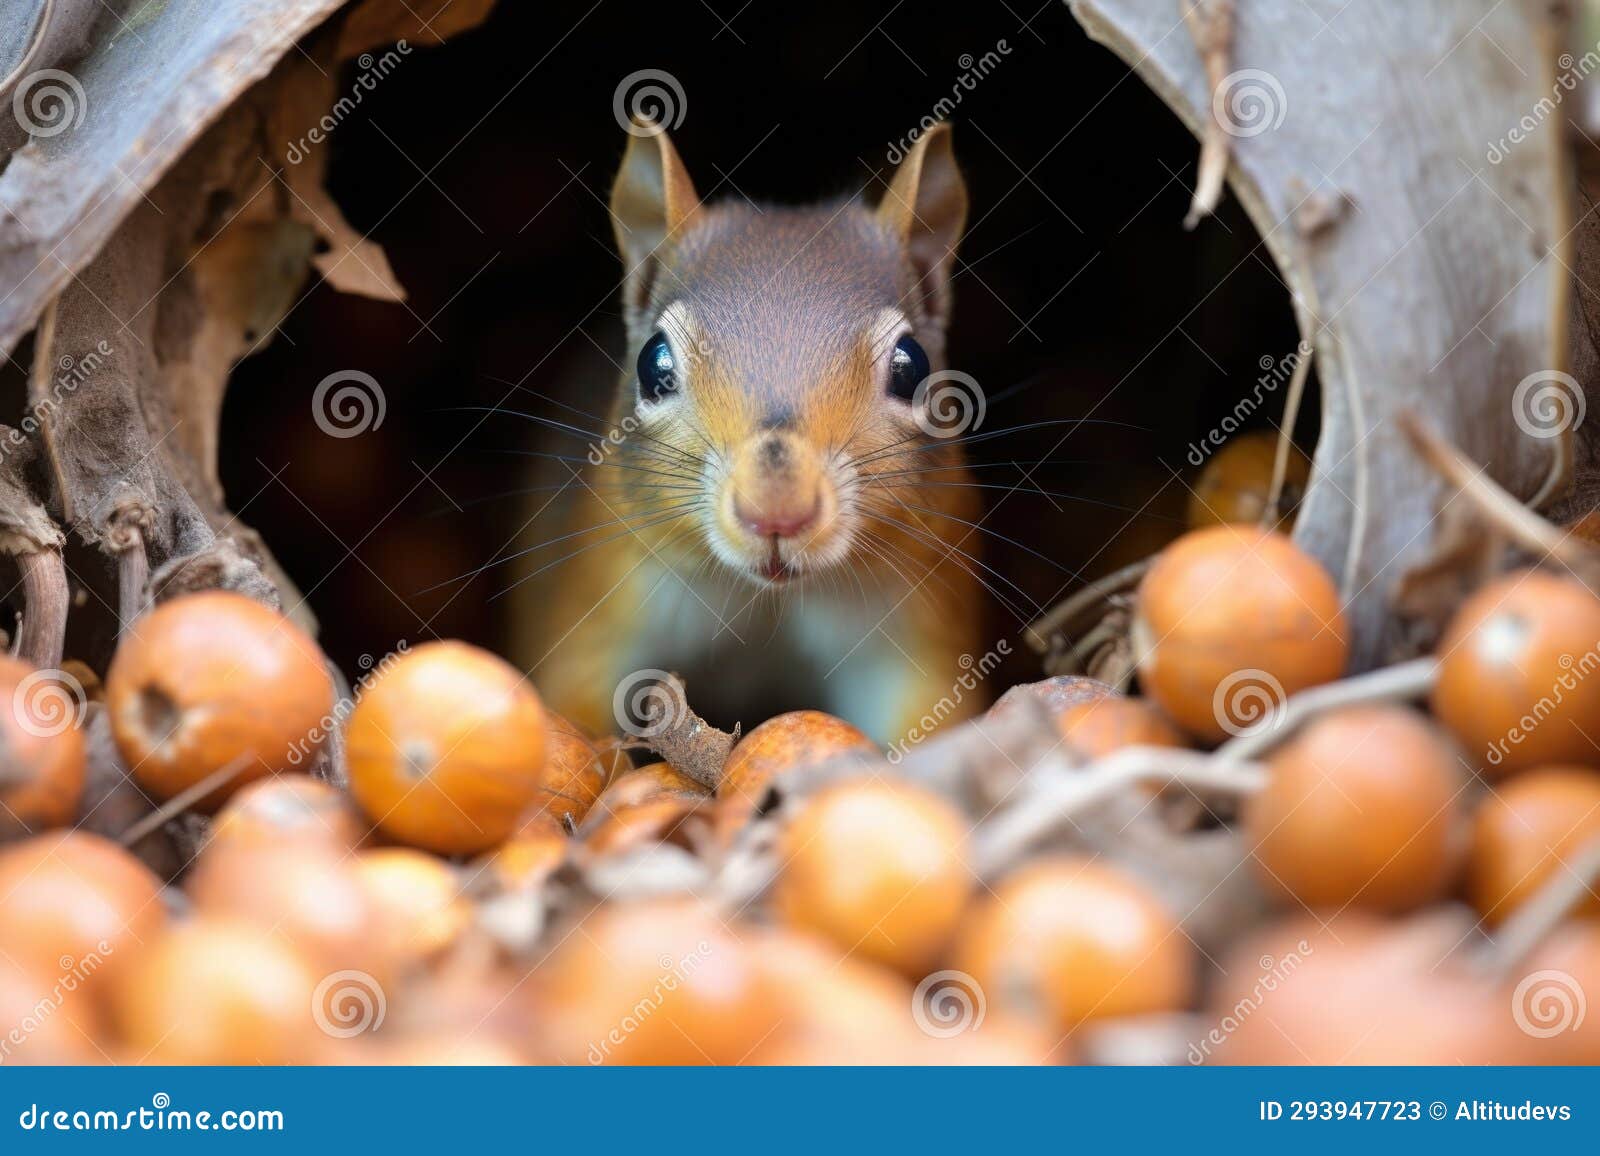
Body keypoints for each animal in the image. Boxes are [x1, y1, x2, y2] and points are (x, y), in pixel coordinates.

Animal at [519, 118, 982, 746]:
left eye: (912, 366)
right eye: (653, 362)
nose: (777, 513)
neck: (765, 602)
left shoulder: (912, 621)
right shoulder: (601, 597)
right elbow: (575, 690)